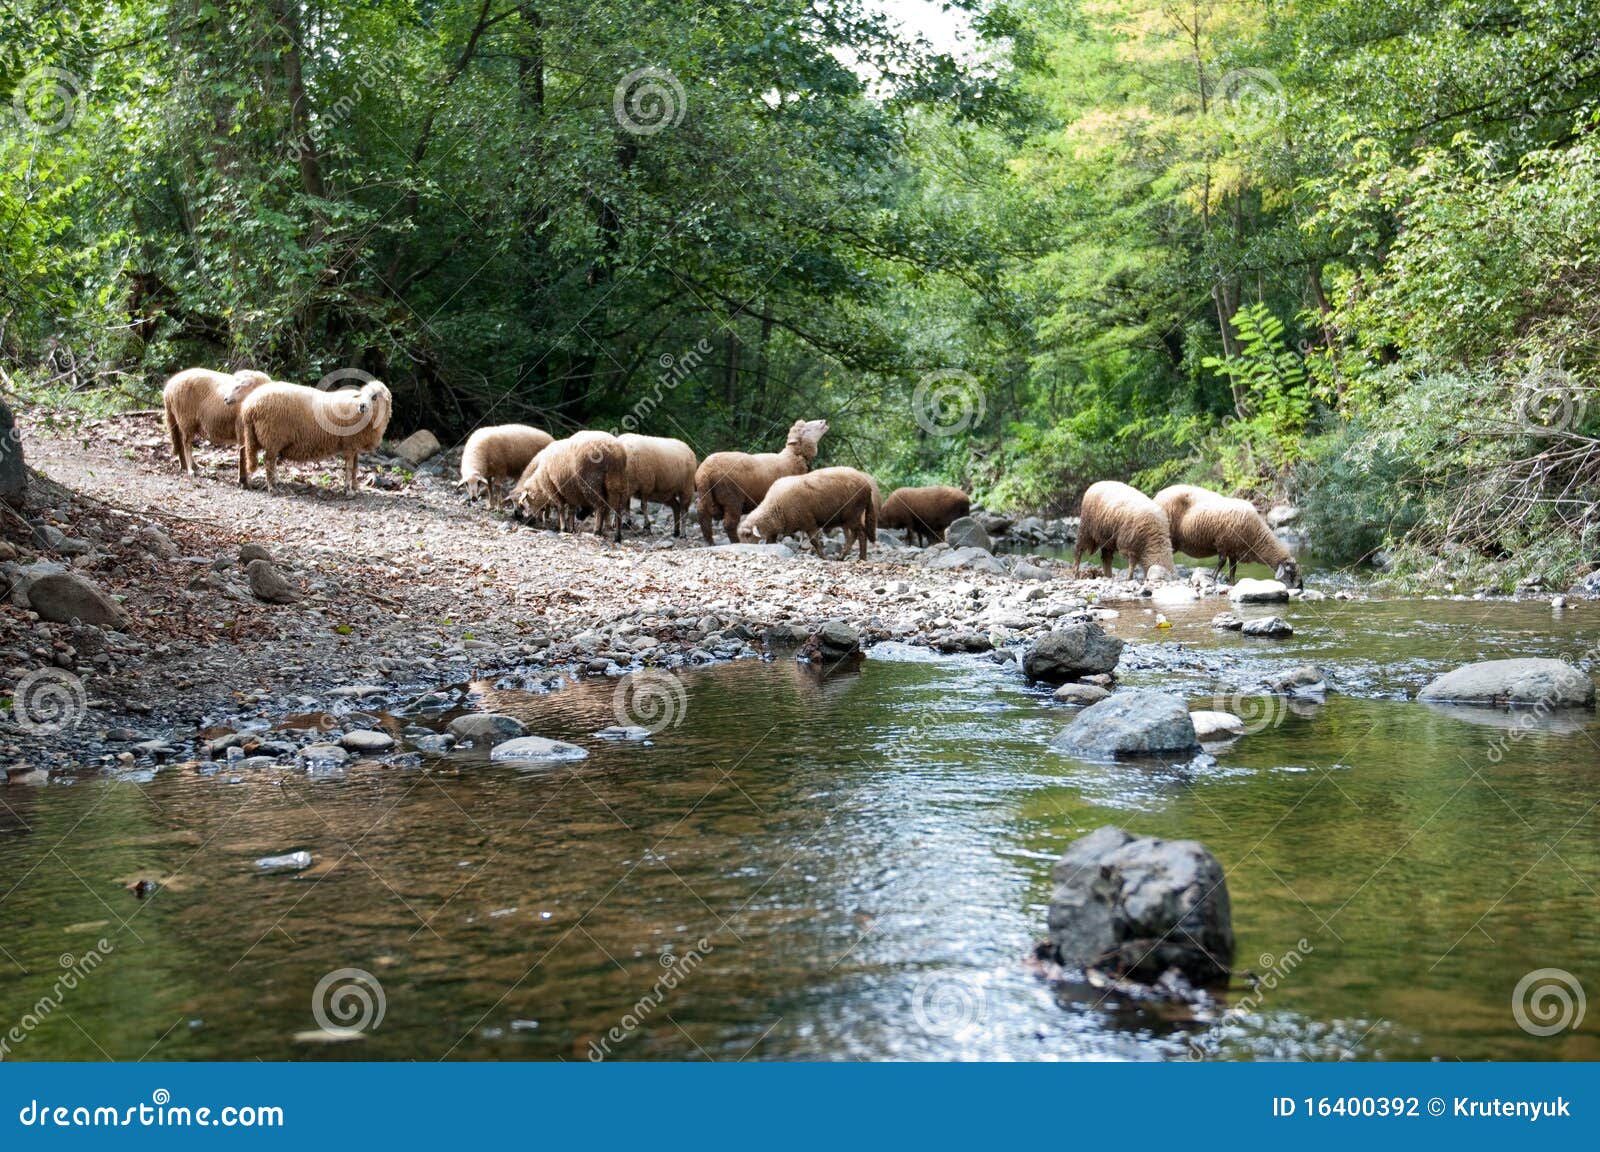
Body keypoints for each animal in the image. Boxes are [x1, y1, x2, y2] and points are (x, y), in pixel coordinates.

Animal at [234, 379, 393, 495]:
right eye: (362, 395)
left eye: (374, 396)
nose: (362, 406)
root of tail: (249, 406)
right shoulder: (349, 445)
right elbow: (349, 468)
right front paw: (348, 490)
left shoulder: (354, 446)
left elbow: (355, 468)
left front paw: (355, 487)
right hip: (273, 436)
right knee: (268, 460)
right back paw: (272, 487)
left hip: (256, 435)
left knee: (246, 452)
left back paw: (249, 482)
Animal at [694, 418, 829, 544]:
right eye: (806, 430)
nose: (823, 421)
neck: (792, 457)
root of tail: (705, 471)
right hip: (731, 498)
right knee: (729, 524)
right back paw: (735, 542)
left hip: (705, 495)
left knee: (703, 517)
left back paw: (710, 542)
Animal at [737, 466, 878, 560]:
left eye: (748, 535)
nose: (744, 550)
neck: (775, 507)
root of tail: (867, 486)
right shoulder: (774, 530)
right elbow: (770, 543)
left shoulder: (809, 522)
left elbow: (814, 541)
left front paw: (823, 557)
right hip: (848, 518)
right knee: (854, 535)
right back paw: (843, 556)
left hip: (853, 513)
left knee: (861, 534)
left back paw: (861, 557)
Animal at [1166, 492, 1303, 588]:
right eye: (1291, 573)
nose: (1300, 588)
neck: (1255, 534)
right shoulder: (1223, 544)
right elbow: (1221, 563)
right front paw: (1212, 577)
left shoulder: (1234, 550)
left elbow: (1233, 568)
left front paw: (1232, 583)